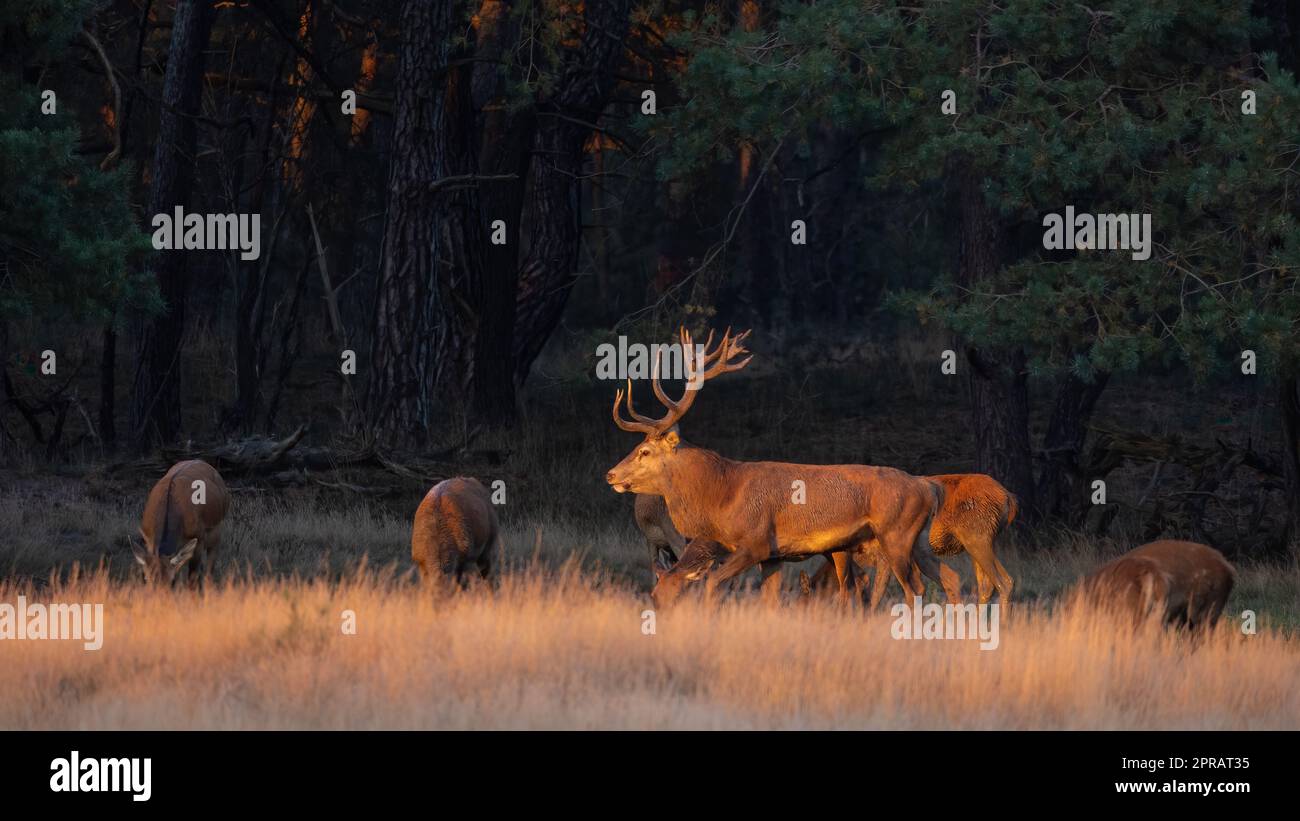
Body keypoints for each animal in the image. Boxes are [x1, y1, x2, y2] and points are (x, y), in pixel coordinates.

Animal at [606, 326, 960, 606]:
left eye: (645, 451)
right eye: (652, 597)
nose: (610, 474)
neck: (721, 495)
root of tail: (928, 486)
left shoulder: (755, 543)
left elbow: (712, 584)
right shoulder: (774, 556)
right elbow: (769, 601)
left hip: (896, 534)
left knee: (913, 588)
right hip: (918, 539)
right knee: (951, 578)